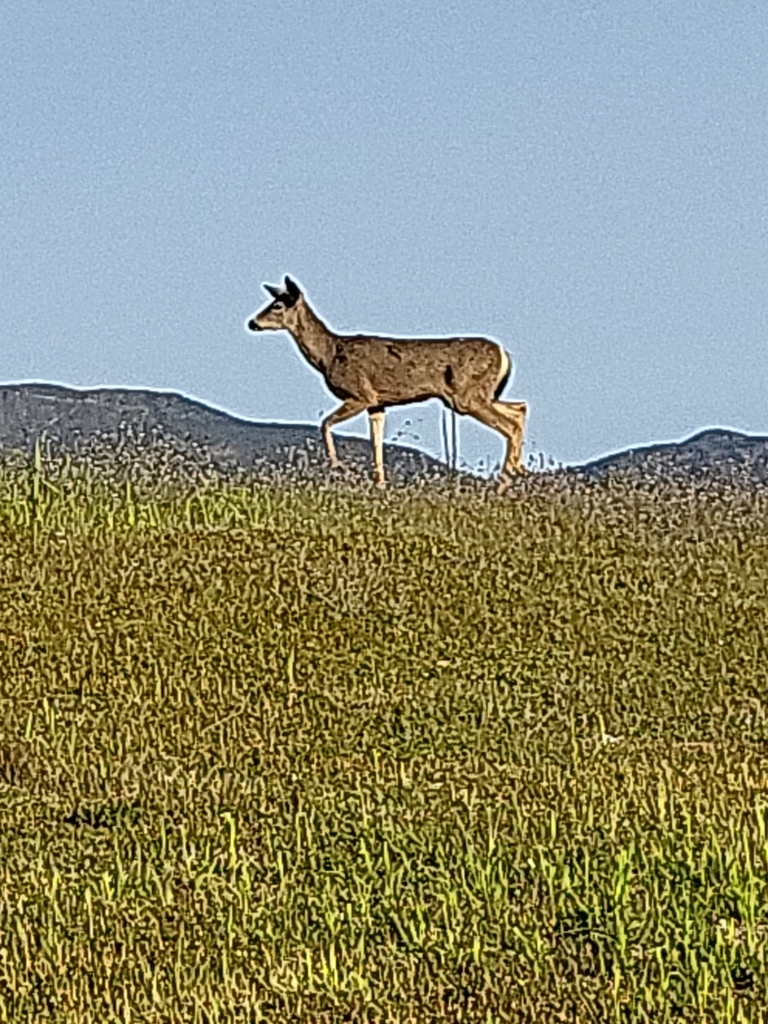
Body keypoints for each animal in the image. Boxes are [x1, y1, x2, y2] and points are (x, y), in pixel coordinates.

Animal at [246, 276, 528, 492]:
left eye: (277, 305)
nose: (252, 322)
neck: (329, 354)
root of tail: (504, 354)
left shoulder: (361, 394)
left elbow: (325, 423)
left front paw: (337, 466)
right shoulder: (377, 404)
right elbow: (376, 443)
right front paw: (380, 484)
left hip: (466, 396)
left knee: (510, 425)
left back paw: (503, 484)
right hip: (479, 395)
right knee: (520, 408)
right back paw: (518, 470)